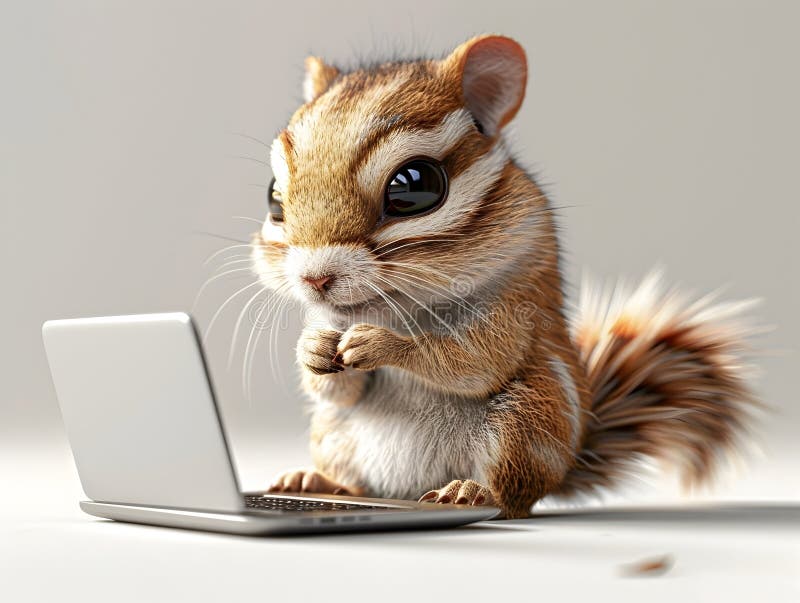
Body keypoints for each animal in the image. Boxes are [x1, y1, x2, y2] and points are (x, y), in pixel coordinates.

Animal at [251, 35, 759, 519]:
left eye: (413, 184)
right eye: (274, 196)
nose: (315, 279)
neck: (393, 306)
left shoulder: (516, 308)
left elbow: (474, 359)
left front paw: (381, 343)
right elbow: (338, 389)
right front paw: (314, 347)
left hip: (522, 420)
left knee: (513, 499)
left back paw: (468, 491)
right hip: (334, 433)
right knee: (356, 481)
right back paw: (314, 480)